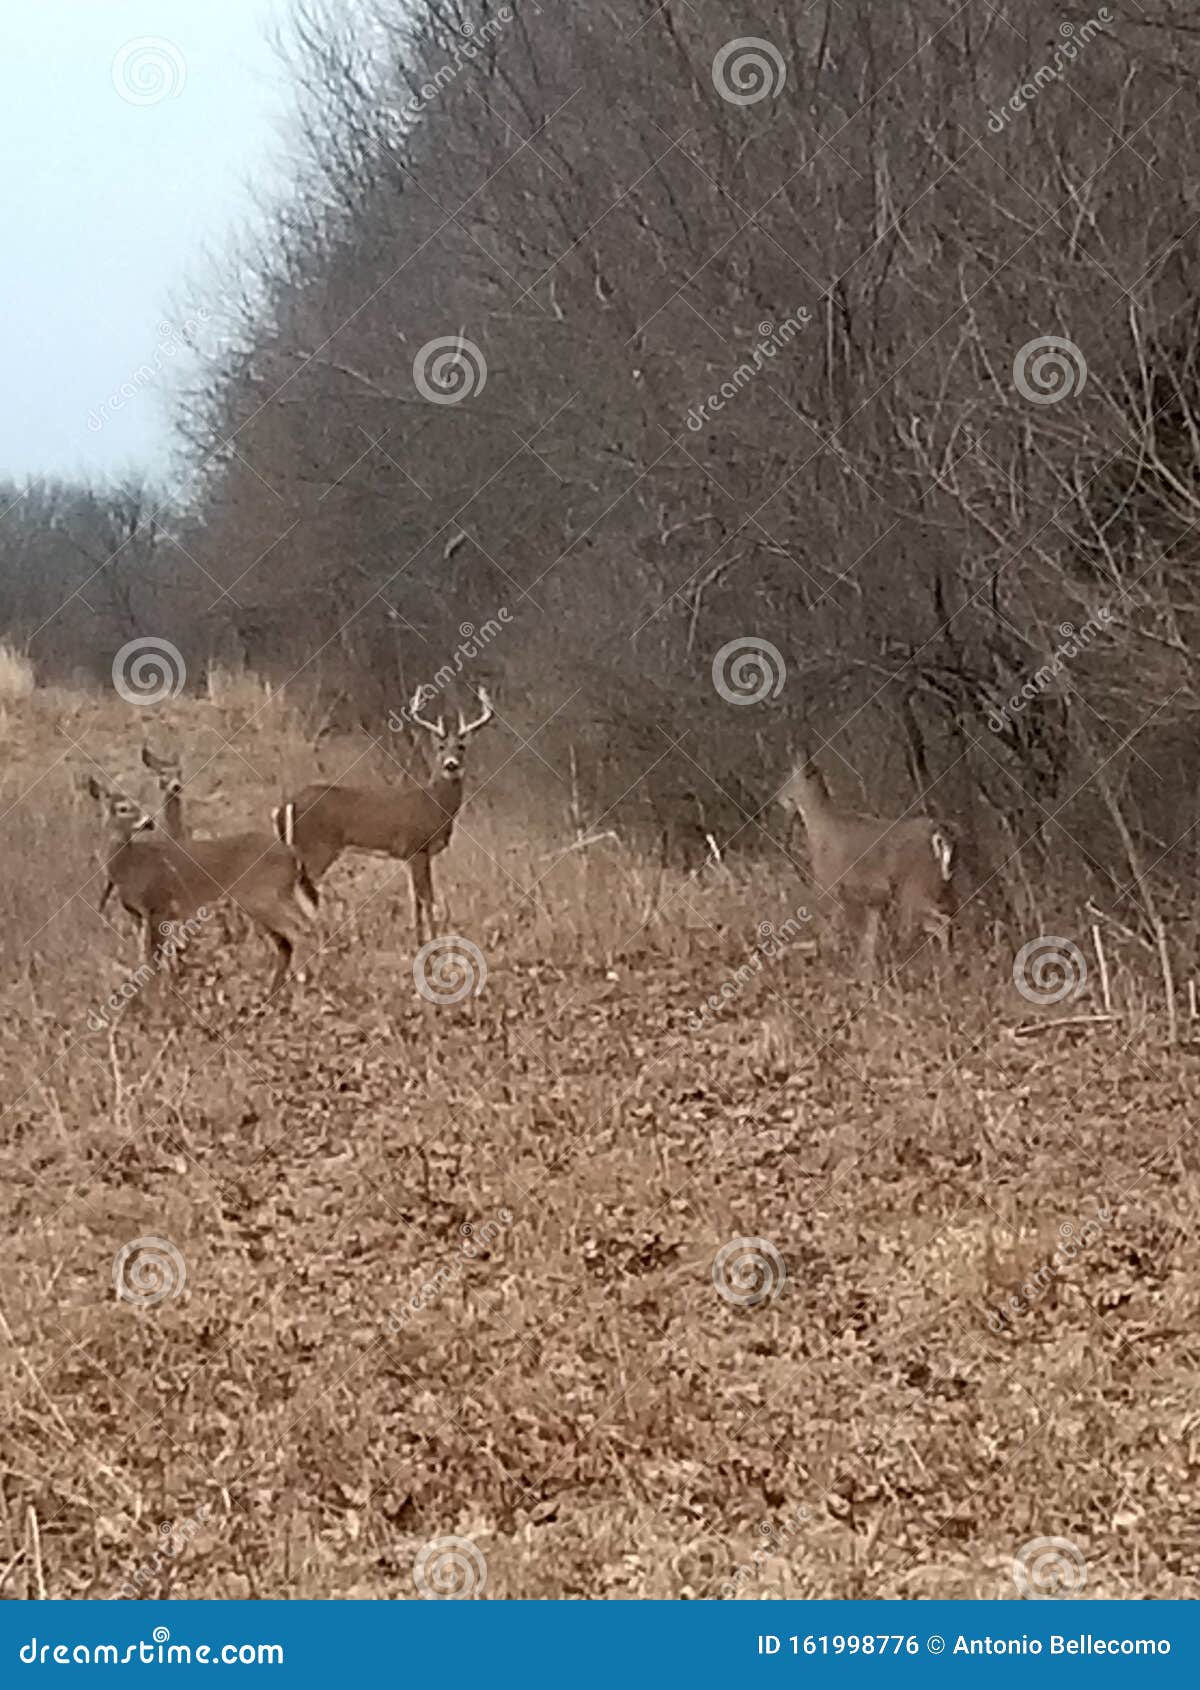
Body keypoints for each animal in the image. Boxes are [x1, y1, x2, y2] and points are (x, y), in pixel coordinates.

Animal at [86, 773, 320, 999]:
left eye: (136, 803)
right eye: (123, 808)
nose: (149, 823)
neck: (130, 866)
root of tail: (293, 855)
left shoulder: (159, 906)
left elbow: (154, 960)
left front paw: (159, 1000)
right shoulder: (138, 916)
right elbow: (144, 958)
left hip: (265, 895)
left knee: (303, 930)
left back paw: (306, 985)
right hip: (268, 898)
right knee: (288, 941)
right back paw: (274, 994)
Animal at [273, 686, 493, 943]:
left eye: (461, 747)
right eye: (441, 747)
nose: (450, 765)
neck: (434, 807)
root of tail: (285, 806)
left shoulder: (413, 855)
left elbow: (417, 898)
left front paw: (420, 939)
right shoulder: (417, 847)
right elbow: (426, 898)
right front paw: (431, 939)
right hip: (317, 848)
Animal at [776, 750, 958, 975]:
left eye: (789, 777)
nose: (779, 797)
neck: (820, 829)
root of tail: (938, 834)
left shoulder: (828, 885)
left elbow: (827, 933)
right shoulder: (874, 900)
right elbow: (869, 939)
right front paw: (866, 970)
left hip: (914, 887)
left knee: (941, 924)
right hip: (935, 888)